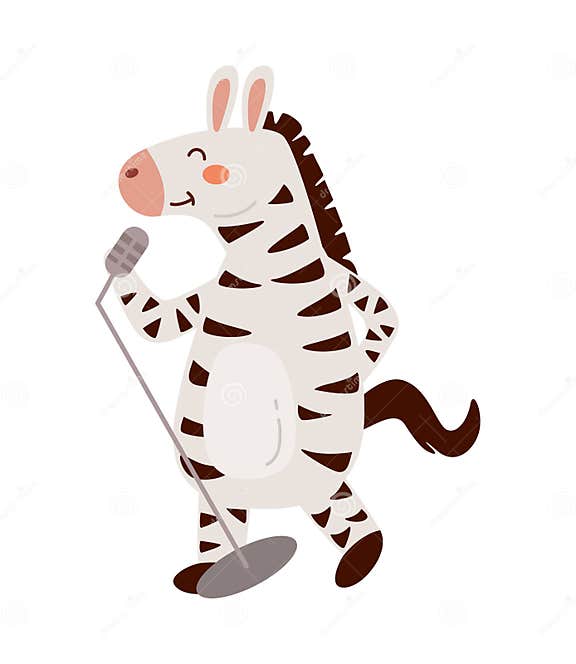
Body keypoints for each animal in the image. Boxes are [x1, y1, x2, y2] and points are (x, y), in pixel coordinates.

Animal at [114, 66, 480, 593]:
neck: (263, 271)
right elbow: (155, 324)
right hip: (219, 486)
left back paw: (356, 563)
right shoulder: (203, 302)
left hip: (314, 476)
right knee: (223, 523)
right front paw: (118, 259)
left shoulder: (343, 285)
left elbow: (385, 319)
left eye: (200, 156)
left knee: (344, 516)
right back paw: (214, 572)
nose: (129, 173)